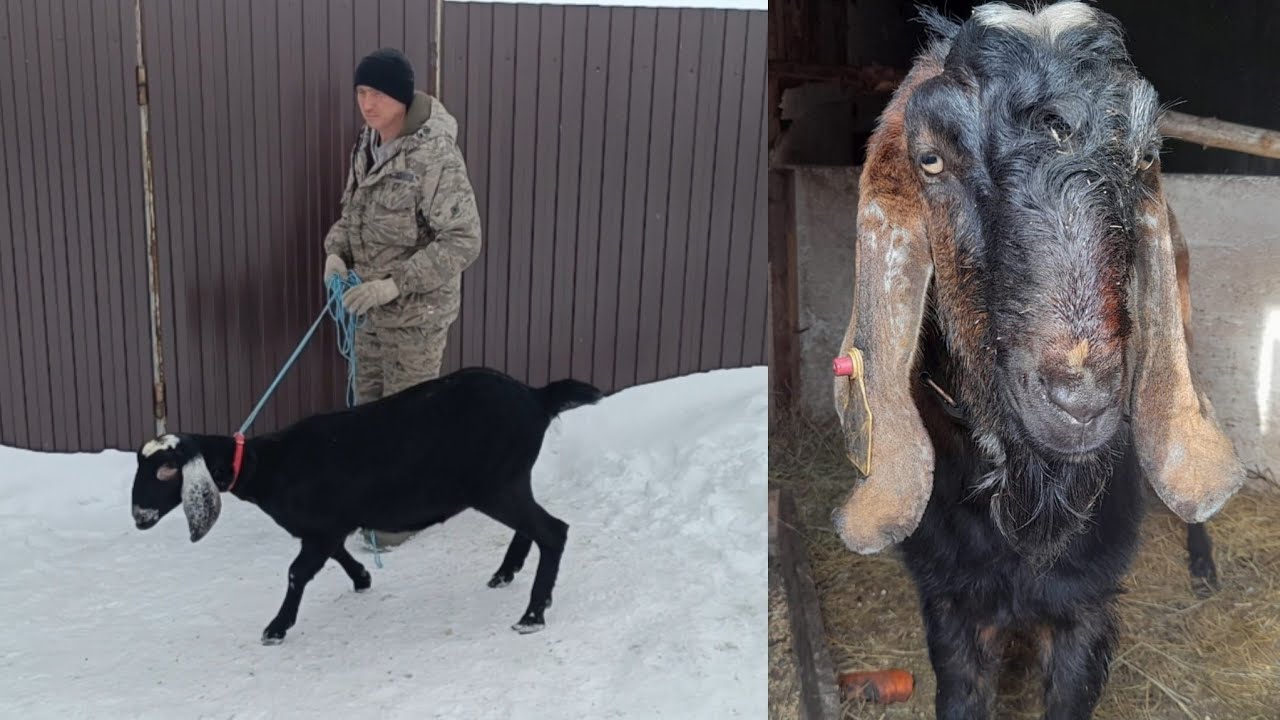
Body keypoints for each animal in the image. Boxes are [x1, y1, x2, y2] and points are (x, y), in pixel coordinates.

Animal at [130, 366, 603, 644]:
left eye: (166, 471)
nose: (139, 516)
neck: (269, 465)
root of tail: (536, 397)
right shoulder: (330, 525)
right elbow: (335, 555)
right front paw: (362, 578)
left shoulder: (322, 526)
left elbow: (297, 572)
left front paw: (276, 628)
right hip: (509, 482)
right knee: (535, 527)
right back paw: (507, 574)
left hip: (497, 485)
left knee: (554, 531)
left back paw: (533, 614)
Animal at [829, 3, 1245, 717]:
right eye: (930, 158)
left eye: (1146, 154)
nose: (1081, 401)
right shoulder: (947, 603)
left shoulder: (1087, 608)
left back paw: (1202, 565)